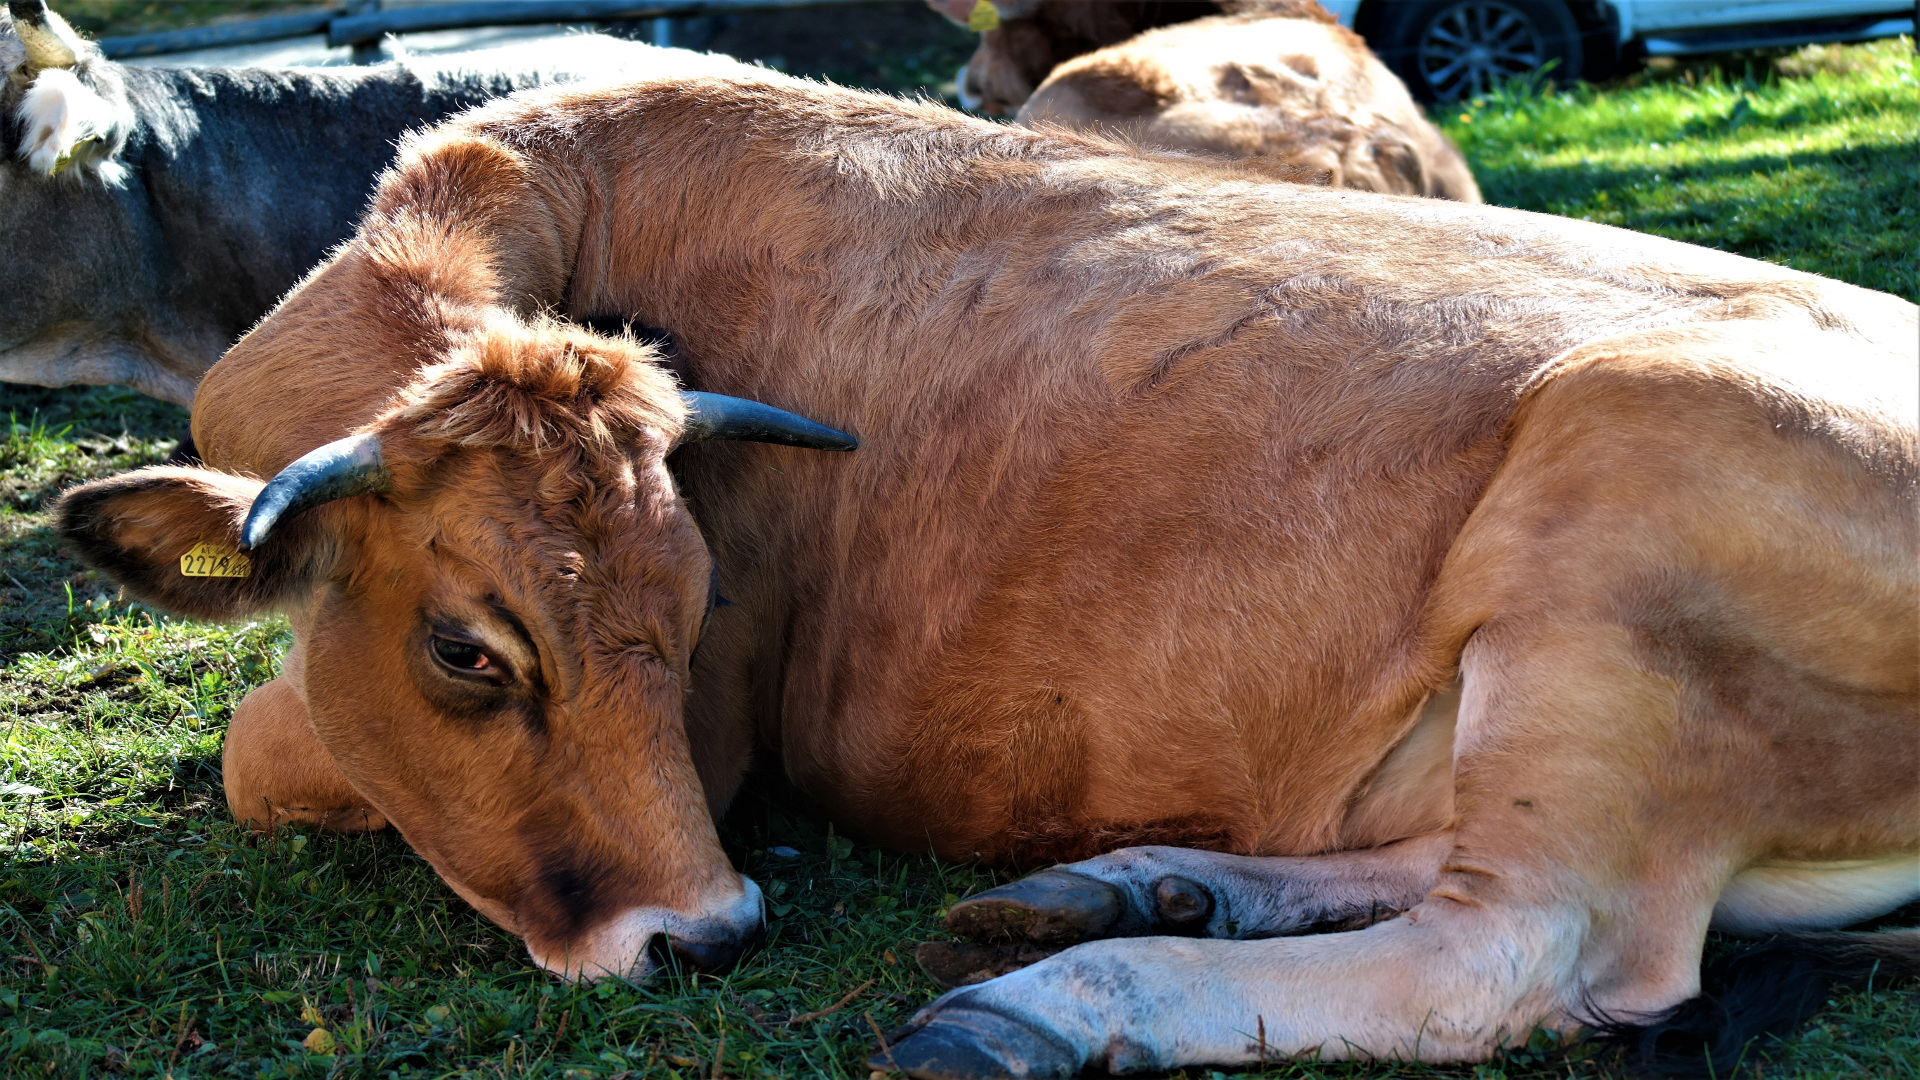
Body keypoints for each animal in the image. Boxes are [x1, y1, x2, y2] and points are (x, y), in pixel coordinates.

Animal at [54, 49, 1918, 1079]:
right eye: (465, 651)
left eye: (702, 609)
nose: (709, 933)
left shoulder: (710, 746)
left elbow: (264, 743)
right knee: (1432, 867)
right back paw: (1143, 887)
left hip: (1622, 499)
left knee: (1530, 951)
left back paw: (1058, 1000)